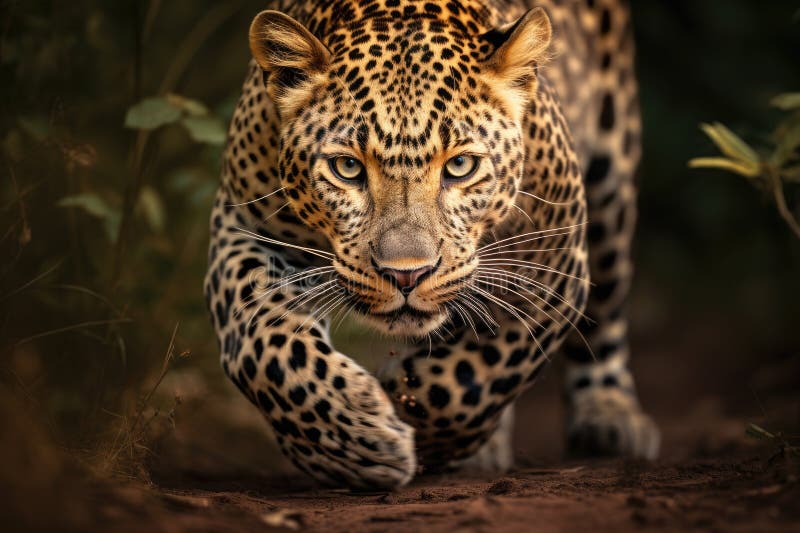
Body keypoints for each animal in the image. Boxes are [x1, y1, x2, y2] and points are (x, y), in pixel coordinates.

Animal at [204, 0, 660, 489]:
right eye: (347, 168)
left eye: (460, 166)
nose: (407, 275)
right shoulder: (241, 224)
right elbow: (259, 339)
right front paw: (348, 438)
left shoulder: (555, 258)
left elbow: (481, 370)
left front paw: (411, 428)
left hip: (613, 181)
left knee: (606, 310)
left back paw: (610, 414)